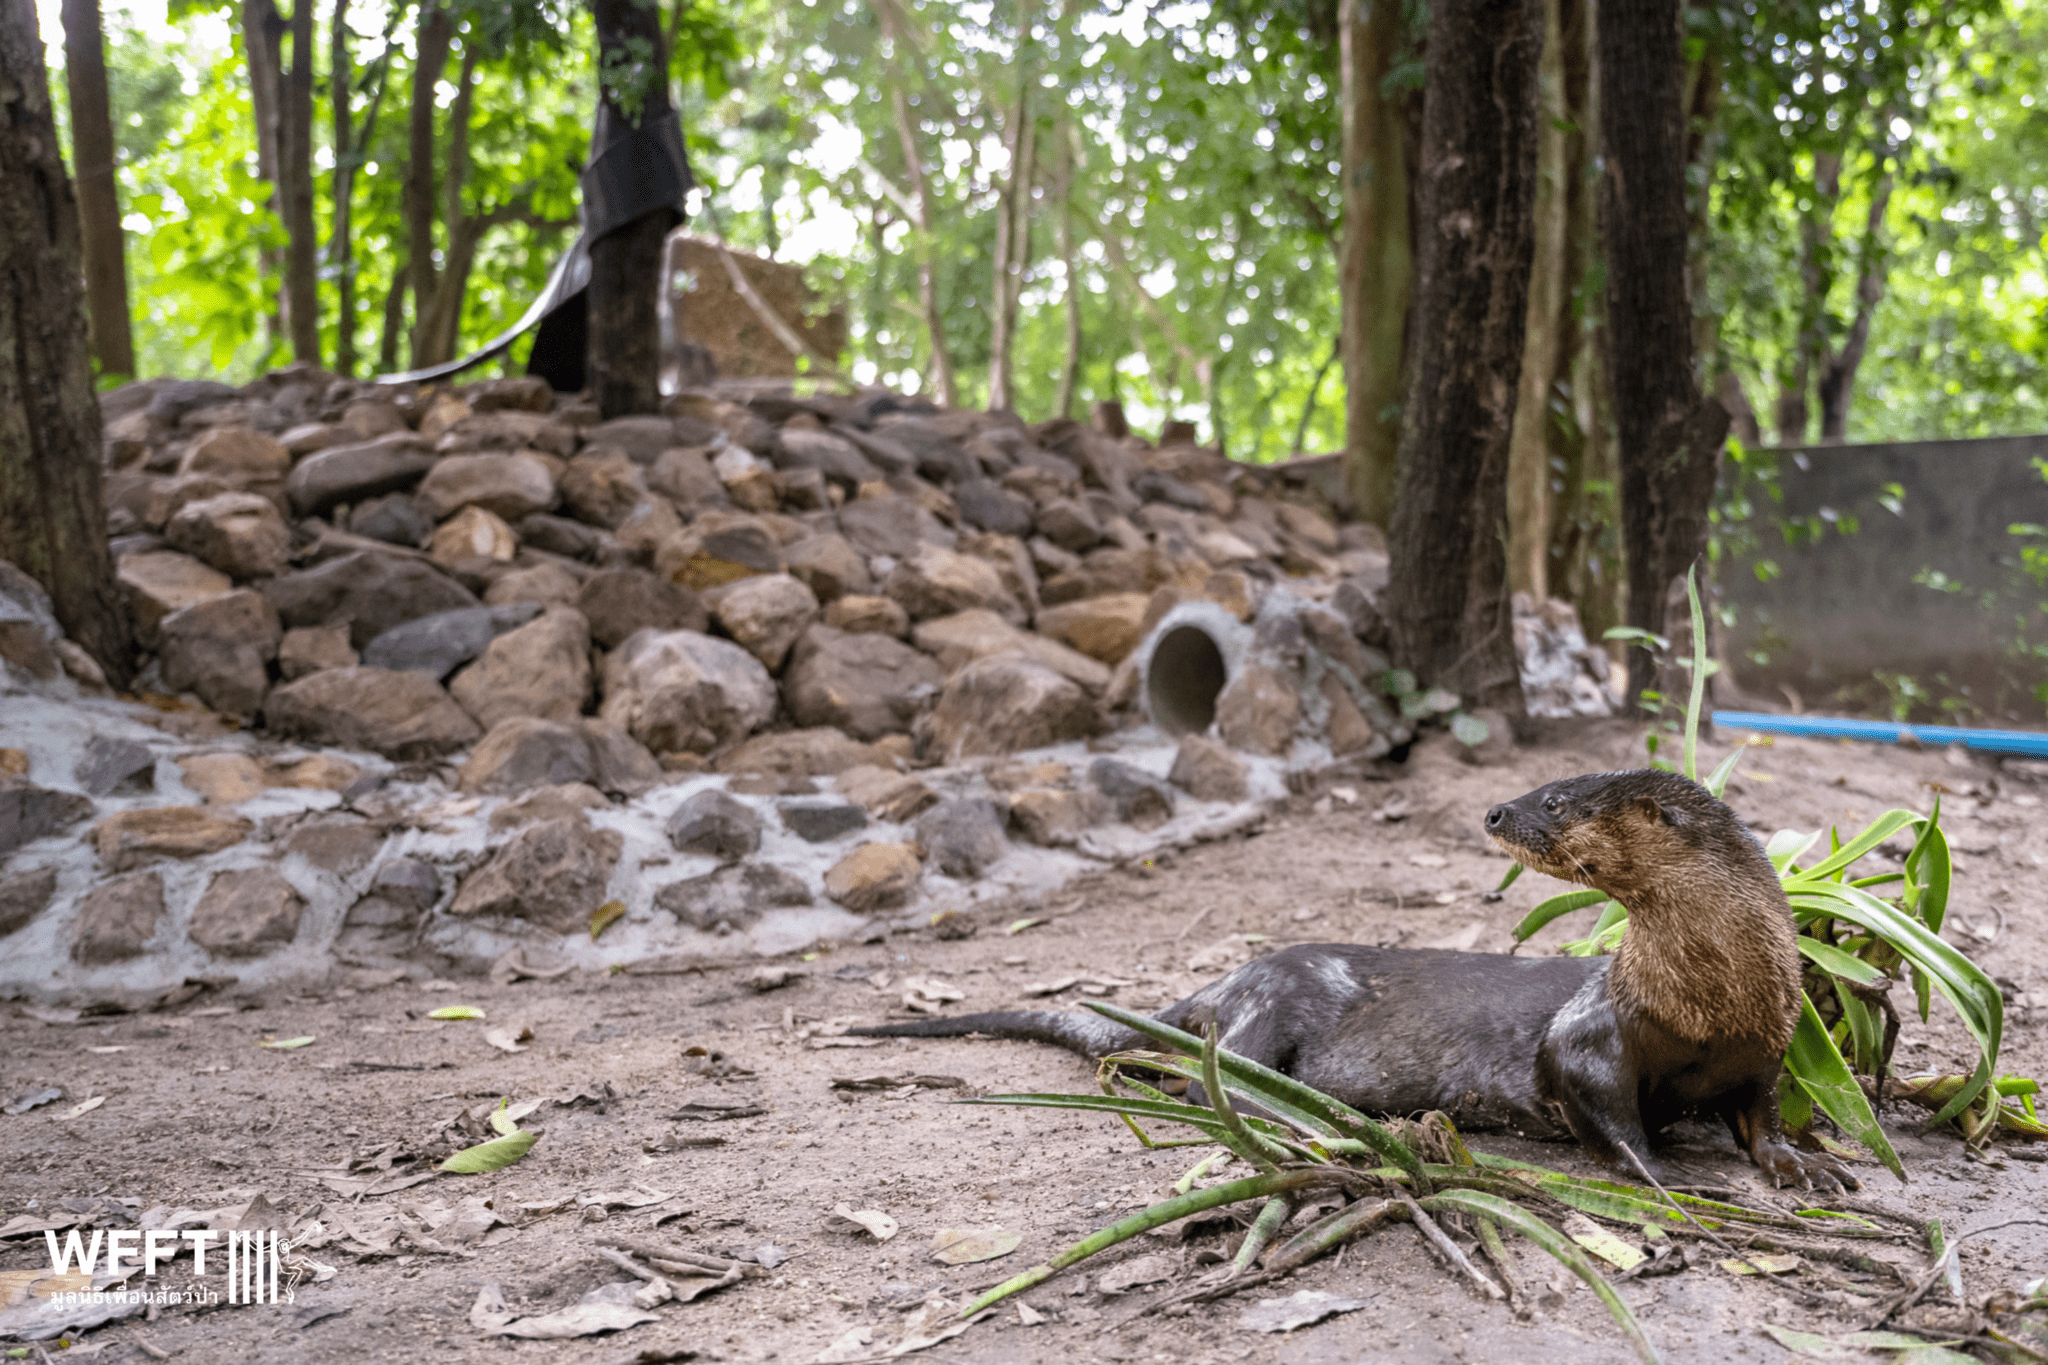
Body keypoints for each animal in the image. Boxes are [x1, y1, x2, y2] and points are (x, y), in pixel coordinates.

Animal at [847, 769, 1856, 1190]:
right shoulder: (1594, 1030)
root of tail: (1232, 971)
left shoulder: (1767, 1046)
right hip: (1272, 1001)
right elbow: (1600, 1102)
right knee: (1208, 1075)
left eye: (1559, 799)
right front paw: (1664, 1169)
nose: (1496, 809)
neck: (1708, 1000)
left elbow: (1760, 1114)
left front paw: (1804, 1161)